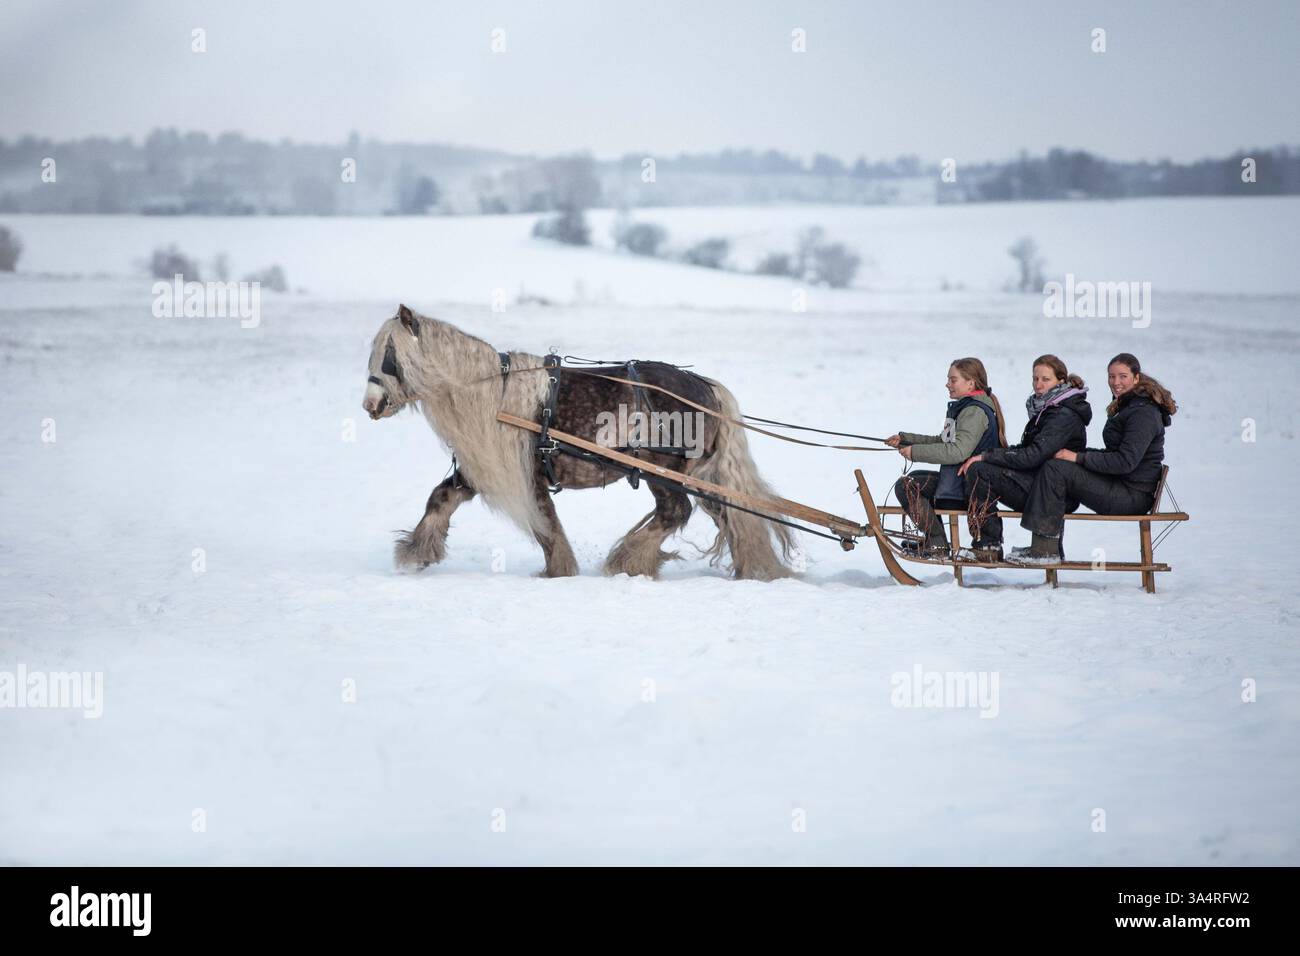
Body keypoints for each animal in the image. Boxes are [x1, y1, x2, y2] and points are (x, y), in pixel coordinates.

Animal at [362, 304, 794, 580]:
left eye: (389, 356)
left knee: (676, 512)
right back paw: (751, 569)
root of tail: (705, 386)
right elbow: (441, 498)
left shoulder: (526, 473)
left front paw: (559, 571)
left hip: (664, 470)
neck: (495, 393)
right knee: (729, 515)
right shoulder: (480, 469)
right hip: (699, 473)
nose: (370, 404)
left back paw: (628, 560)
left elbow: (545, 524)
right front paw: (416, 551)